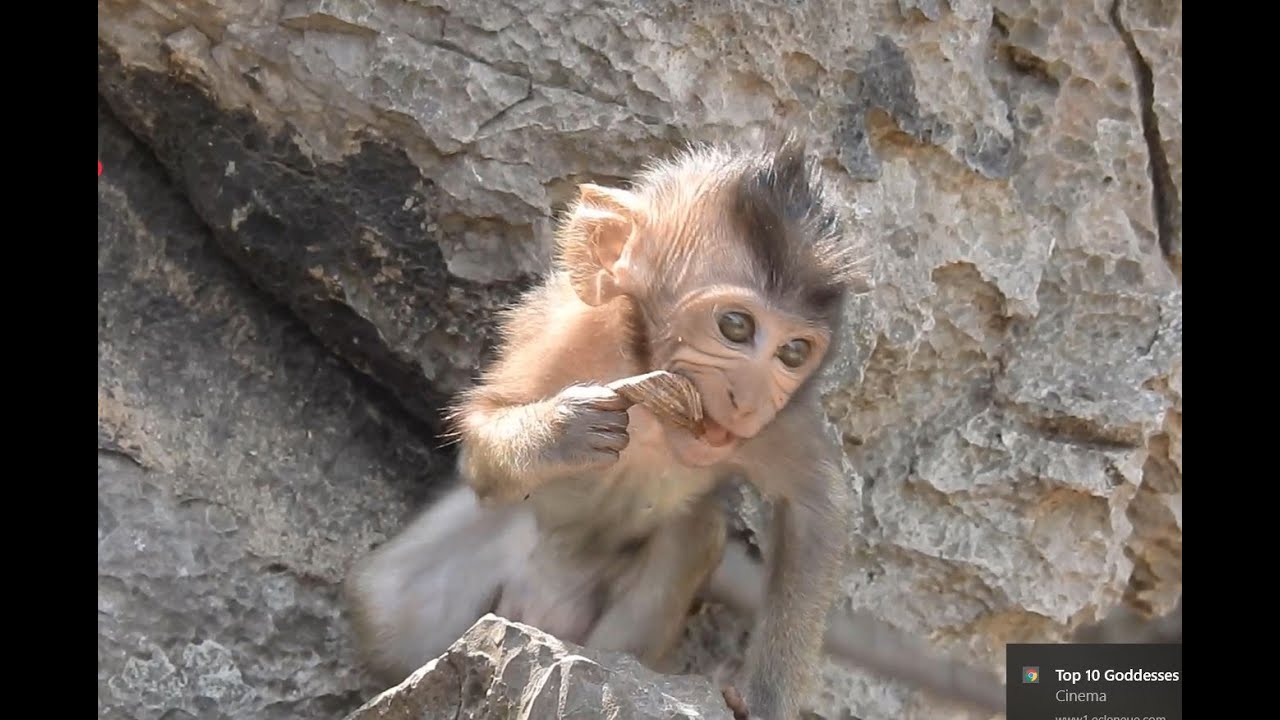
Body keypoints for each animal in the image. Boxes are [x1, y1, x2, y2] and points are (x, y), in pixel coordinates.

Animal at [345, 136, 873, 720]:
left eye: (793, 353)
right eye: (735, 326)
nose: (748, 401)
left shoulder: (778, 421)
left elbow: (815, 506)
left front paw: (765, 700)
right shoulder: (568, 342)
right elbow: (480, 439)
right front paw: (562, 430)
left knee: (692, 532)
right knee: (384, 602)